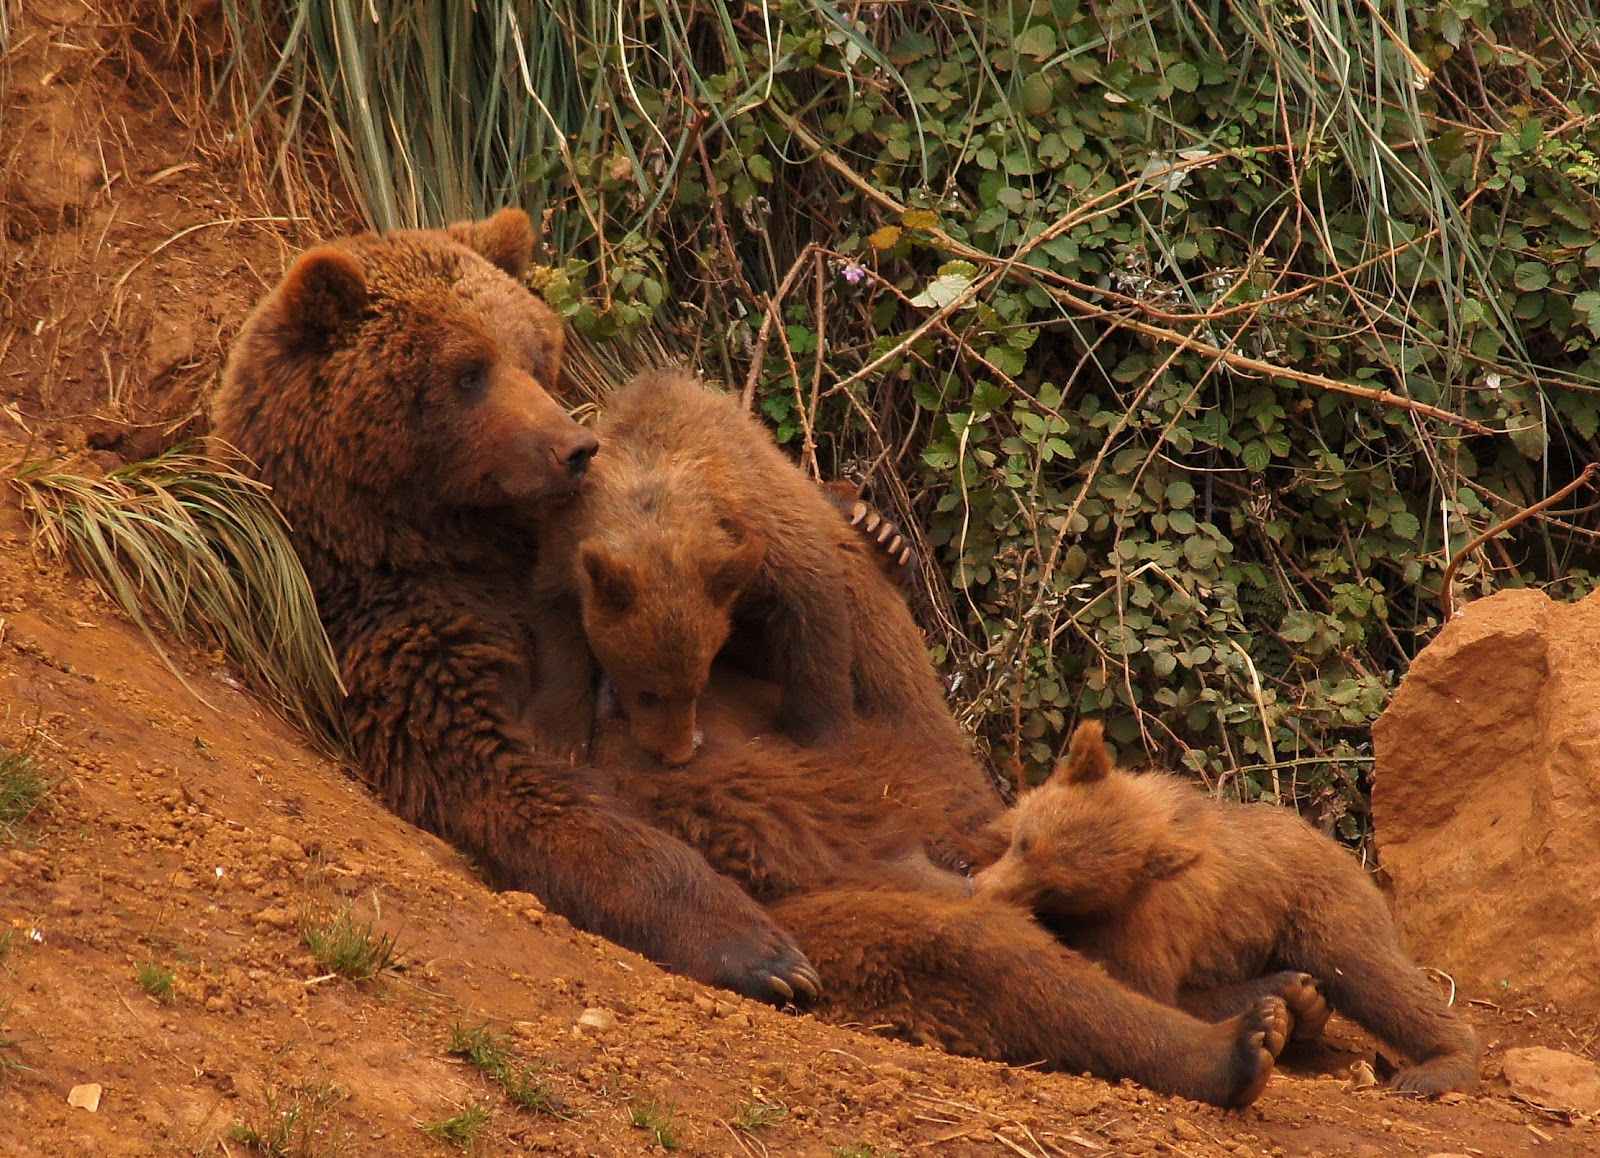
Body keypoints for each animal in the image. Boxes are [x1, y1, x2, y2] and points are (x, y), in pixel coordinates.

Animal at [210, 210, 820, 1005]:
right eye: (467, 372)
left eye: (535, 354)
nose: (576, 446)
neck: (433, 537)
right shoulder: (407, 635)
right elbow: (512, 774)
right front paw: (763, 951)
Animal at [533, 369, 959, 767]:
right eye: (647, 692)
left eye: (697, 685)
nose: (677, 754)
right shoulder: (568, 541)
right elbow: (556, 628)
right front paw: (563, 736)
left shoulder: (762, 521)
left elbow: (814, 615)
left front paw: (815, 734)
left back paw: (881, 536)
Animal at [971, 720, 1482, 1095]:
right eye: (1025, 843)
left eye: (1055, 889)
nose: (982, 889)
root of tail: (1338, 847)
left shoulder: (1147, 924)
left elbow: (1144, 990)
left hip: (1322, 912)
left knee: (1377, 977)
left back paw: (1430, 1063)